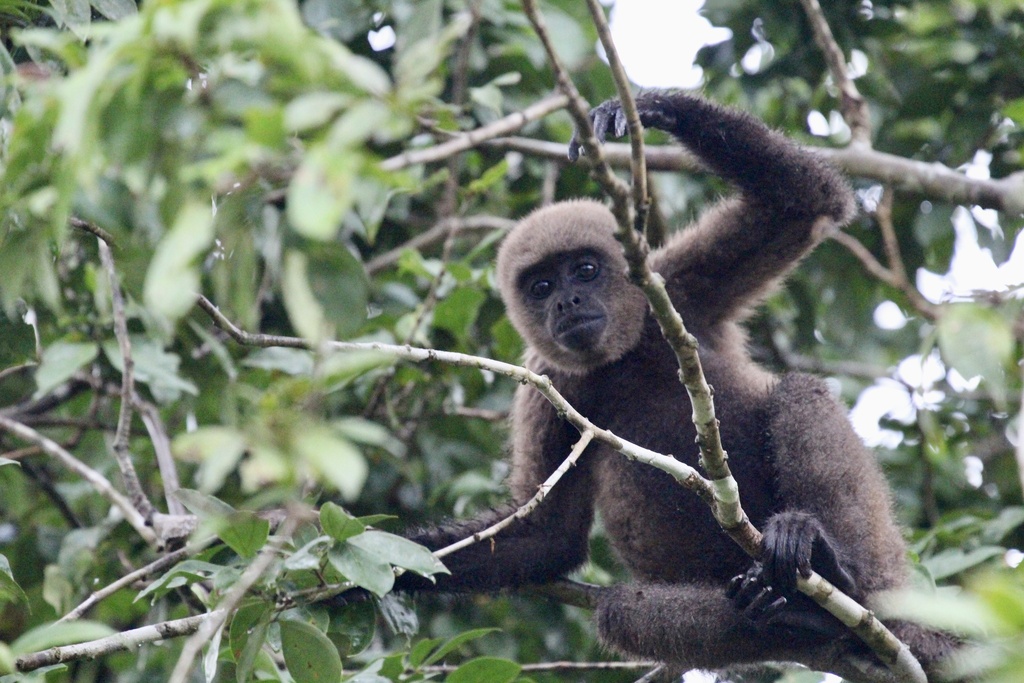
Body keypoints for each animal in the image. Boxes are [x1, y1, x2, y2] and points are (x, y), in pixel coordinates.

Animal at [394, 91, 959, 681]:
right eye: (542, 286)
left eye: (586, 270)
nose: (566, 303)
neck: (621, 358)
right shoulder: (546, 383)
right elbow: (543, 537)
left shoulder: (678, 286)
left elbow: (806, 202)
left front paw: (647, 107)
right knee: (620, 610)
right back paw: (798, 617)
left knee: (800, 393)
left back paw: (840, 573)